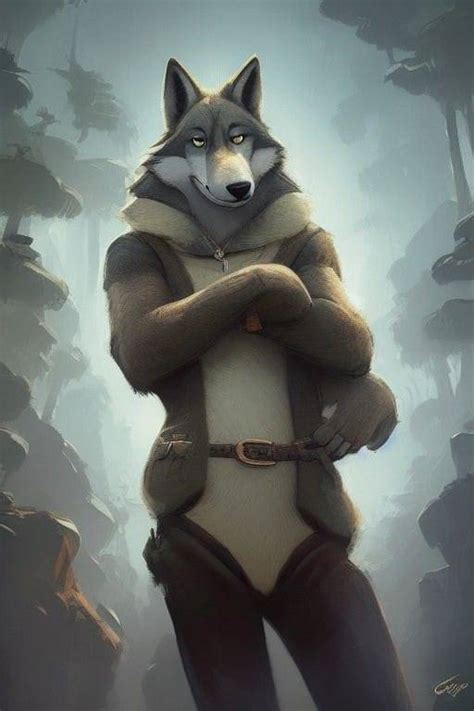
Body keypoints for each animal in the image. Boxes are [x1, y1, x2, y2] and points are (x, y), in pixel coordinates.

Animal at [104, 57, 412, 710]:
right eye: (198, 140)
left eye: (240, 137)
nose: (239, 189)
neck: (223, 248)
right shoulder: (124, 256)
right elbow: (144, 343)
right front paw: (267, 288)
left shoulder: (319, 248)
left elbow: (351, 338)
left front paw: (361, 401)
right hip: (199, 583)